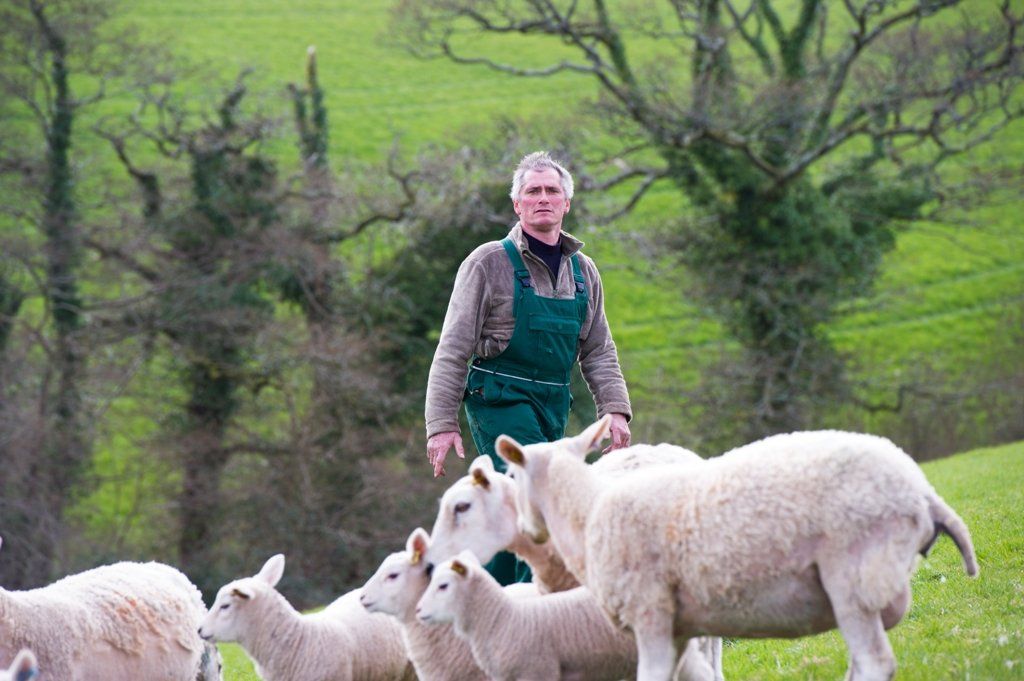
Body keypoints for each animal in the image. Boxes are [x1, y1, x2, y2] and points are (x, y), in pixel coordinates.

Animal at [497, 416, 979, 681]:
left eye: (513, 475)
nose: (525, 529)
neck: (589, 508)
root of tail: (921, 490)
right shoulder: (678, 626)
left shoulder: (649, 612)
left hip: (854, 579)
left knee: (875, 663)